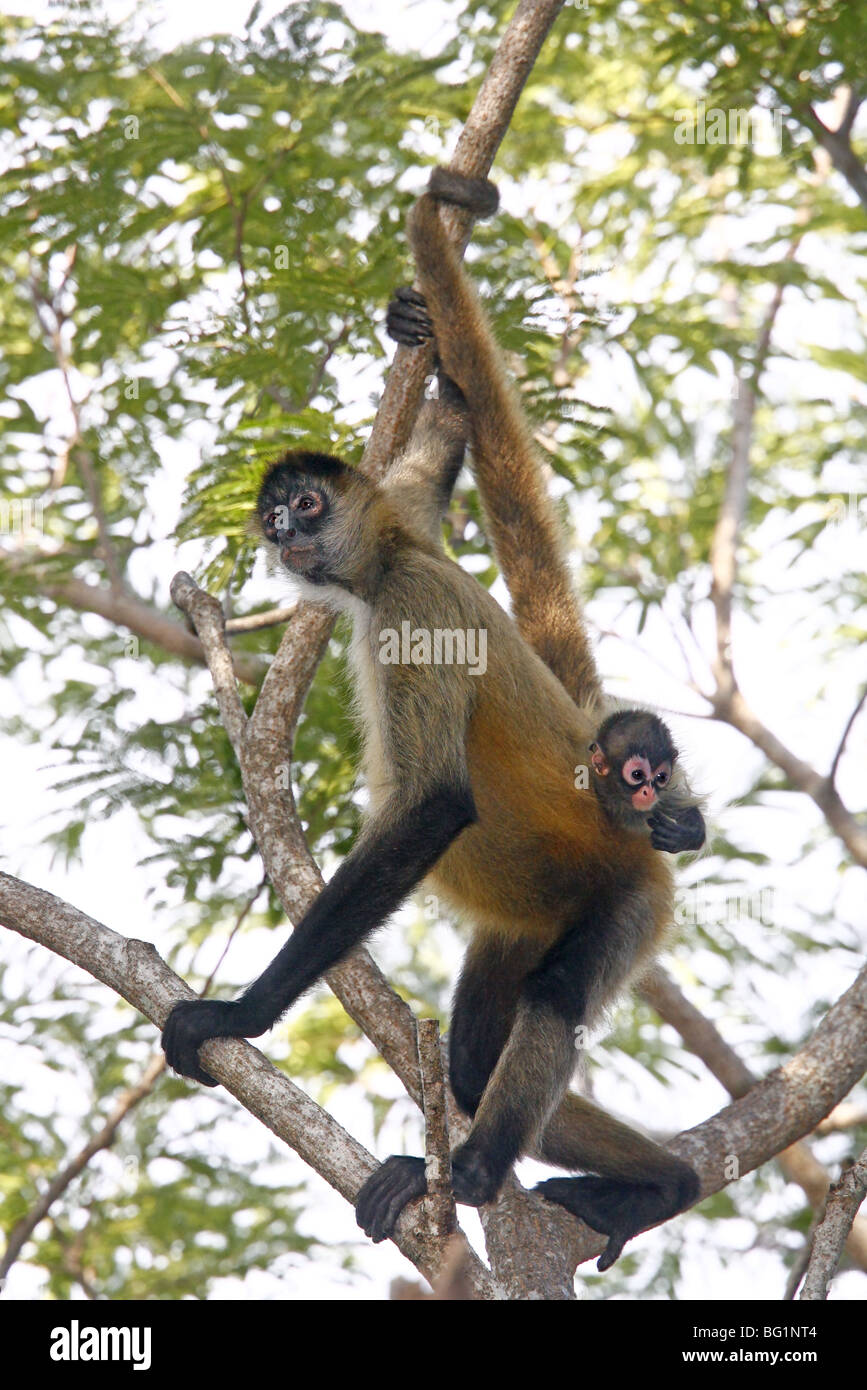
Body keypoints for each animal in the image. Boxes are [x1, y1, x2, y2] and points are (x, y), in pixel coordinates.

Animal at [161, 171, 703, 1272]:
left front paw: (240, 1010)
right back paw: (665, 1181)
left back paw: (486, 1174)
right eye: (276, 515)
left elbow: (437, 803)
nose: (283, 532)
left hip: (629, 898)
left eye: (306, 506)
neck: (390, 557)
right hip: (527, 914)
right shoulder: (406, 510)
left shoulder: (412, 598)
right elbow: (441, 451)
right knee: (471, 1057)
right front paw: (421, 338)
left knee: (554, 999)